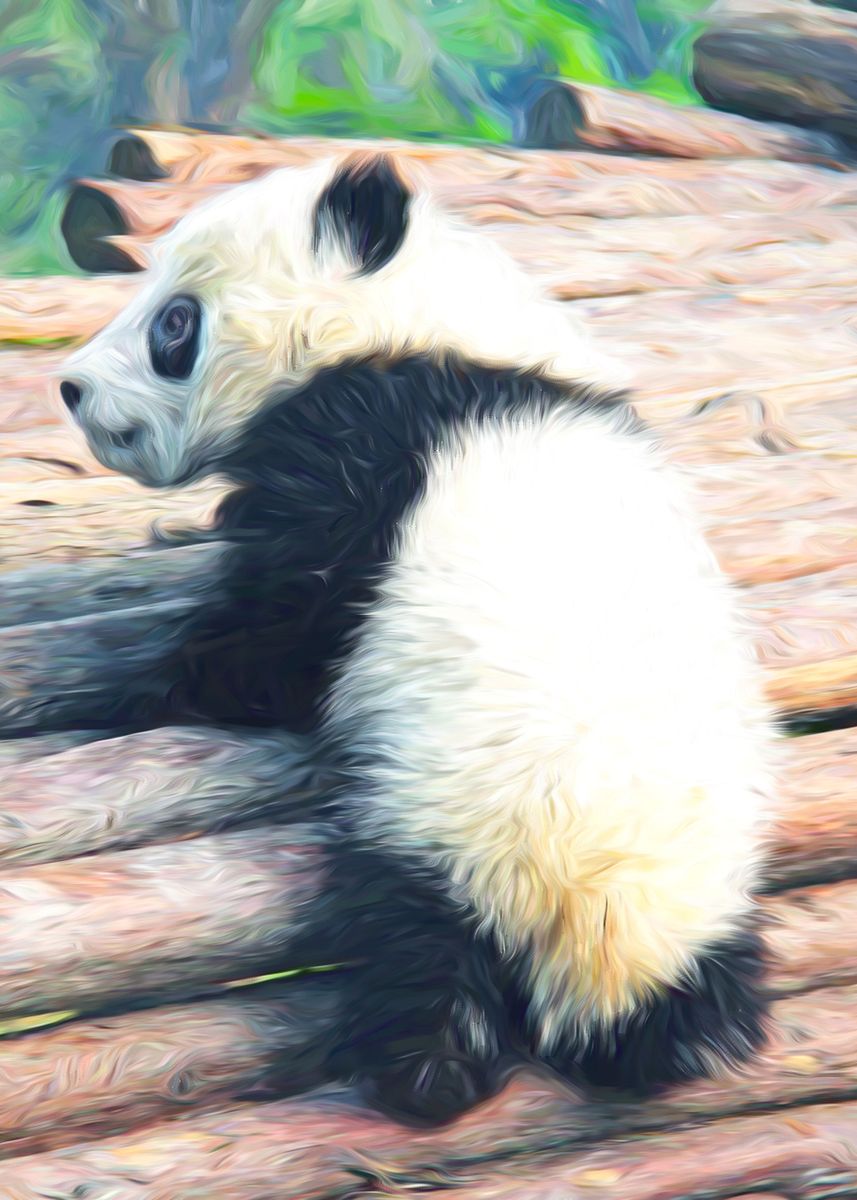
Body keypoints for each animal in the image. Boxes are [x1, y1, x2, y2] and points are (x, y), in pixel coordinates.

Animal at [61, 153, 775, 1125]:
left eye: (175, 322)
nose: (71, 388)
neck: (426, 332)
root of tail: (598, 922)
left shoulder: (362, 459)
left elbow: (275, 636)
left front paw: (130, 693)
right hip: (705, 893)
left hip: (447, 821)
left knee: (418, 951)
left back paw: (421, 1073)